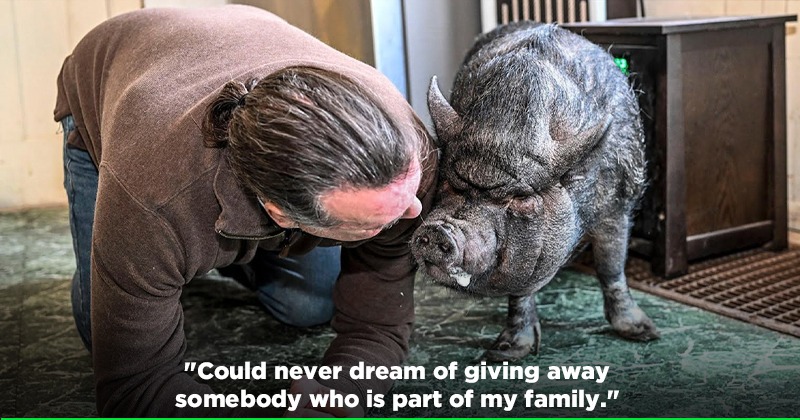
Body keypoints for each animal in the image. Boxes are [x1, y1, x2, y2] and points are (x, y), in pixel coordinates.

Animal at [411, 21, 660, 362]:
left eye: (520, 198)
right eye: (449, 182)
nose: (439, 230)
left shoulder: (618, 205)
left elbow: (611, 265)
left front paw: (645, 333)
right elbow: (520, 292)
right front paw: (505, 353)